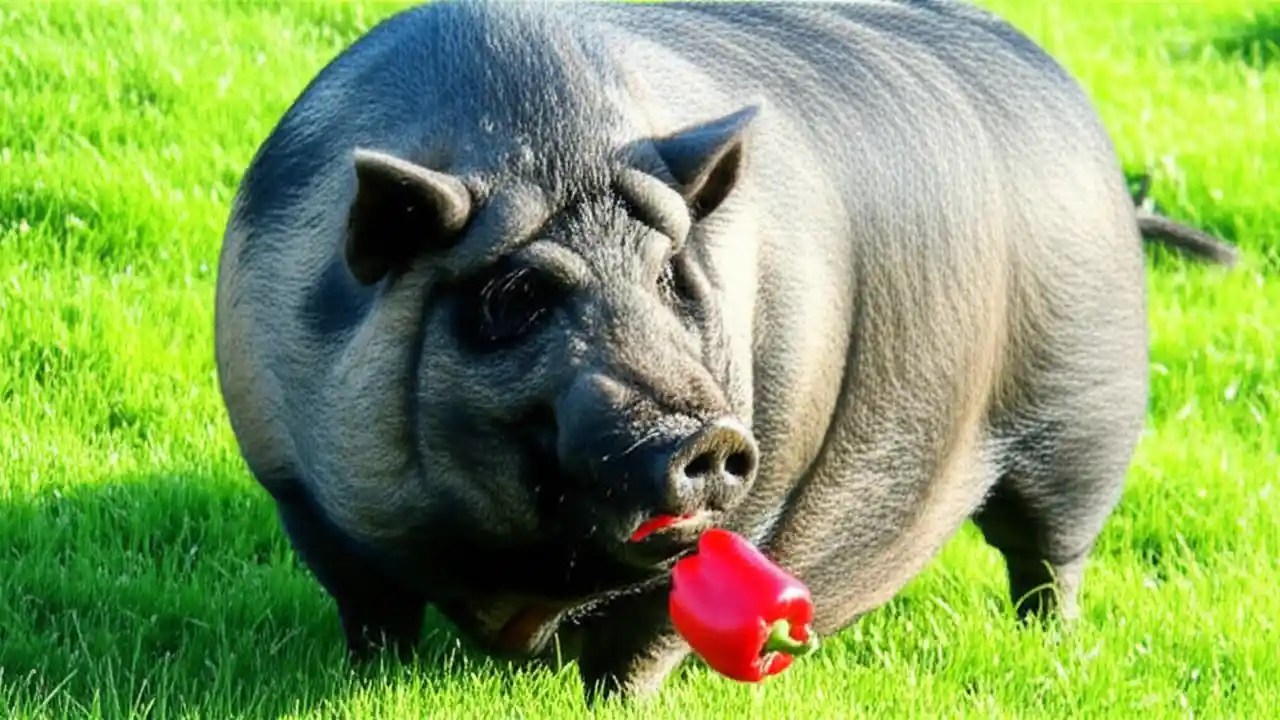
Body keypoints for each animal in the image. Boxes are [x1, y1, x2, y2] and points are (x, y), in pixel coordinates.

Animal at [213, 0, 1239, 703]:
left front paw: (612, 704)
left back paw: (1050, 648)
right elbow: (371, 616)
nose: (699, 433)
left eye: (675, 276)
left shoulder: (765, 480)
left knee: (1049, 561)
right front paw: (369, 679)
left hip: (1085, 422)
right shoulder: (299, 489)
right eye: (515, 297)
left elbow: (640, 644)